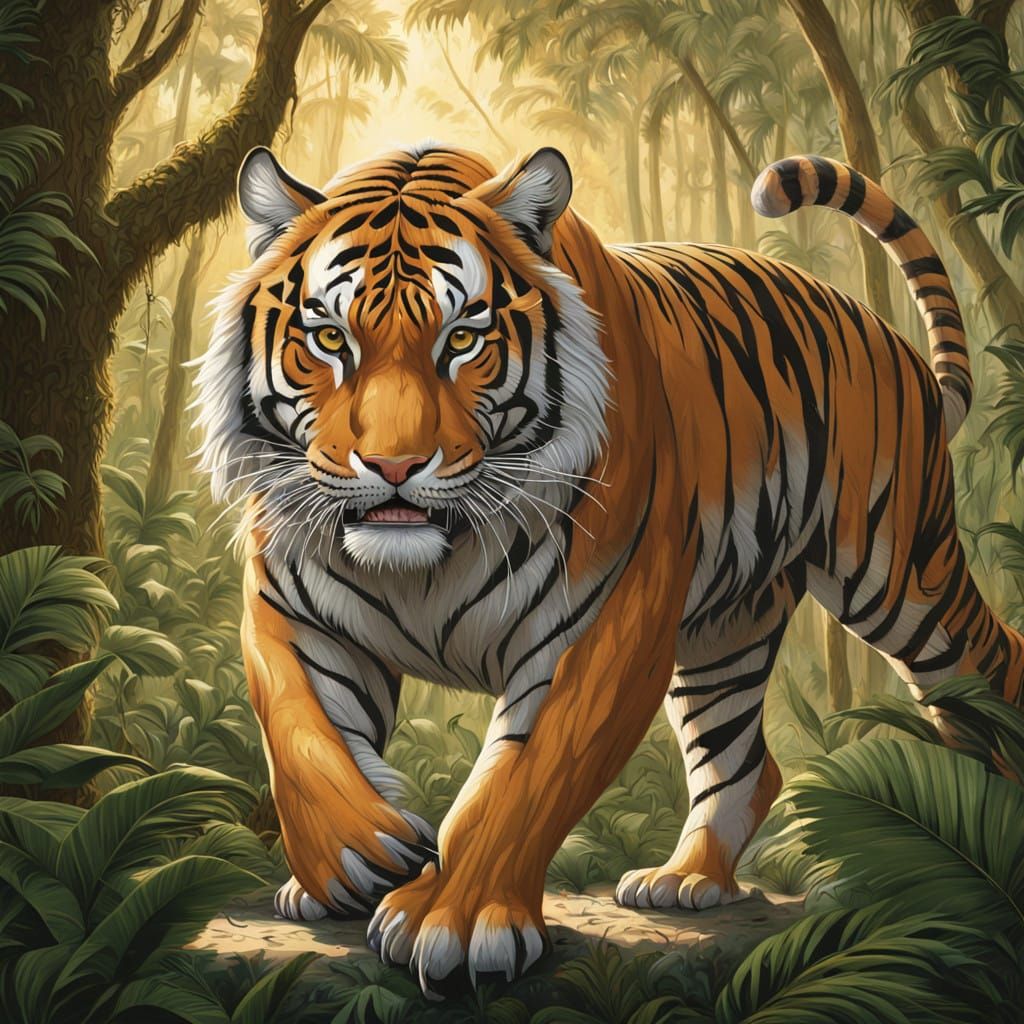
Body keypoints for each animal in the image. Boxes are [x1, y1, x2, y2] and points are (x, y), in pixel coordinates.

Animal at [195, 142, 1024, 993]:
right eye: (330, 339)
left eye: (462, 340)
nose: (394, 465)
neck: (428, 560)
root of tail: (888, 337)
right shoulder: (291, 614)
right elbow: (302, 736)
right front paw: (356, 856)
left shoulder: (596, 630)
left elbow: (521, 783)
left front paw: (459, 919)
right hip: (724, 632)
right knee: (745, 761)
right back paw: (686, 878)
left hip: (899, 575)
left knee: (991, 667)